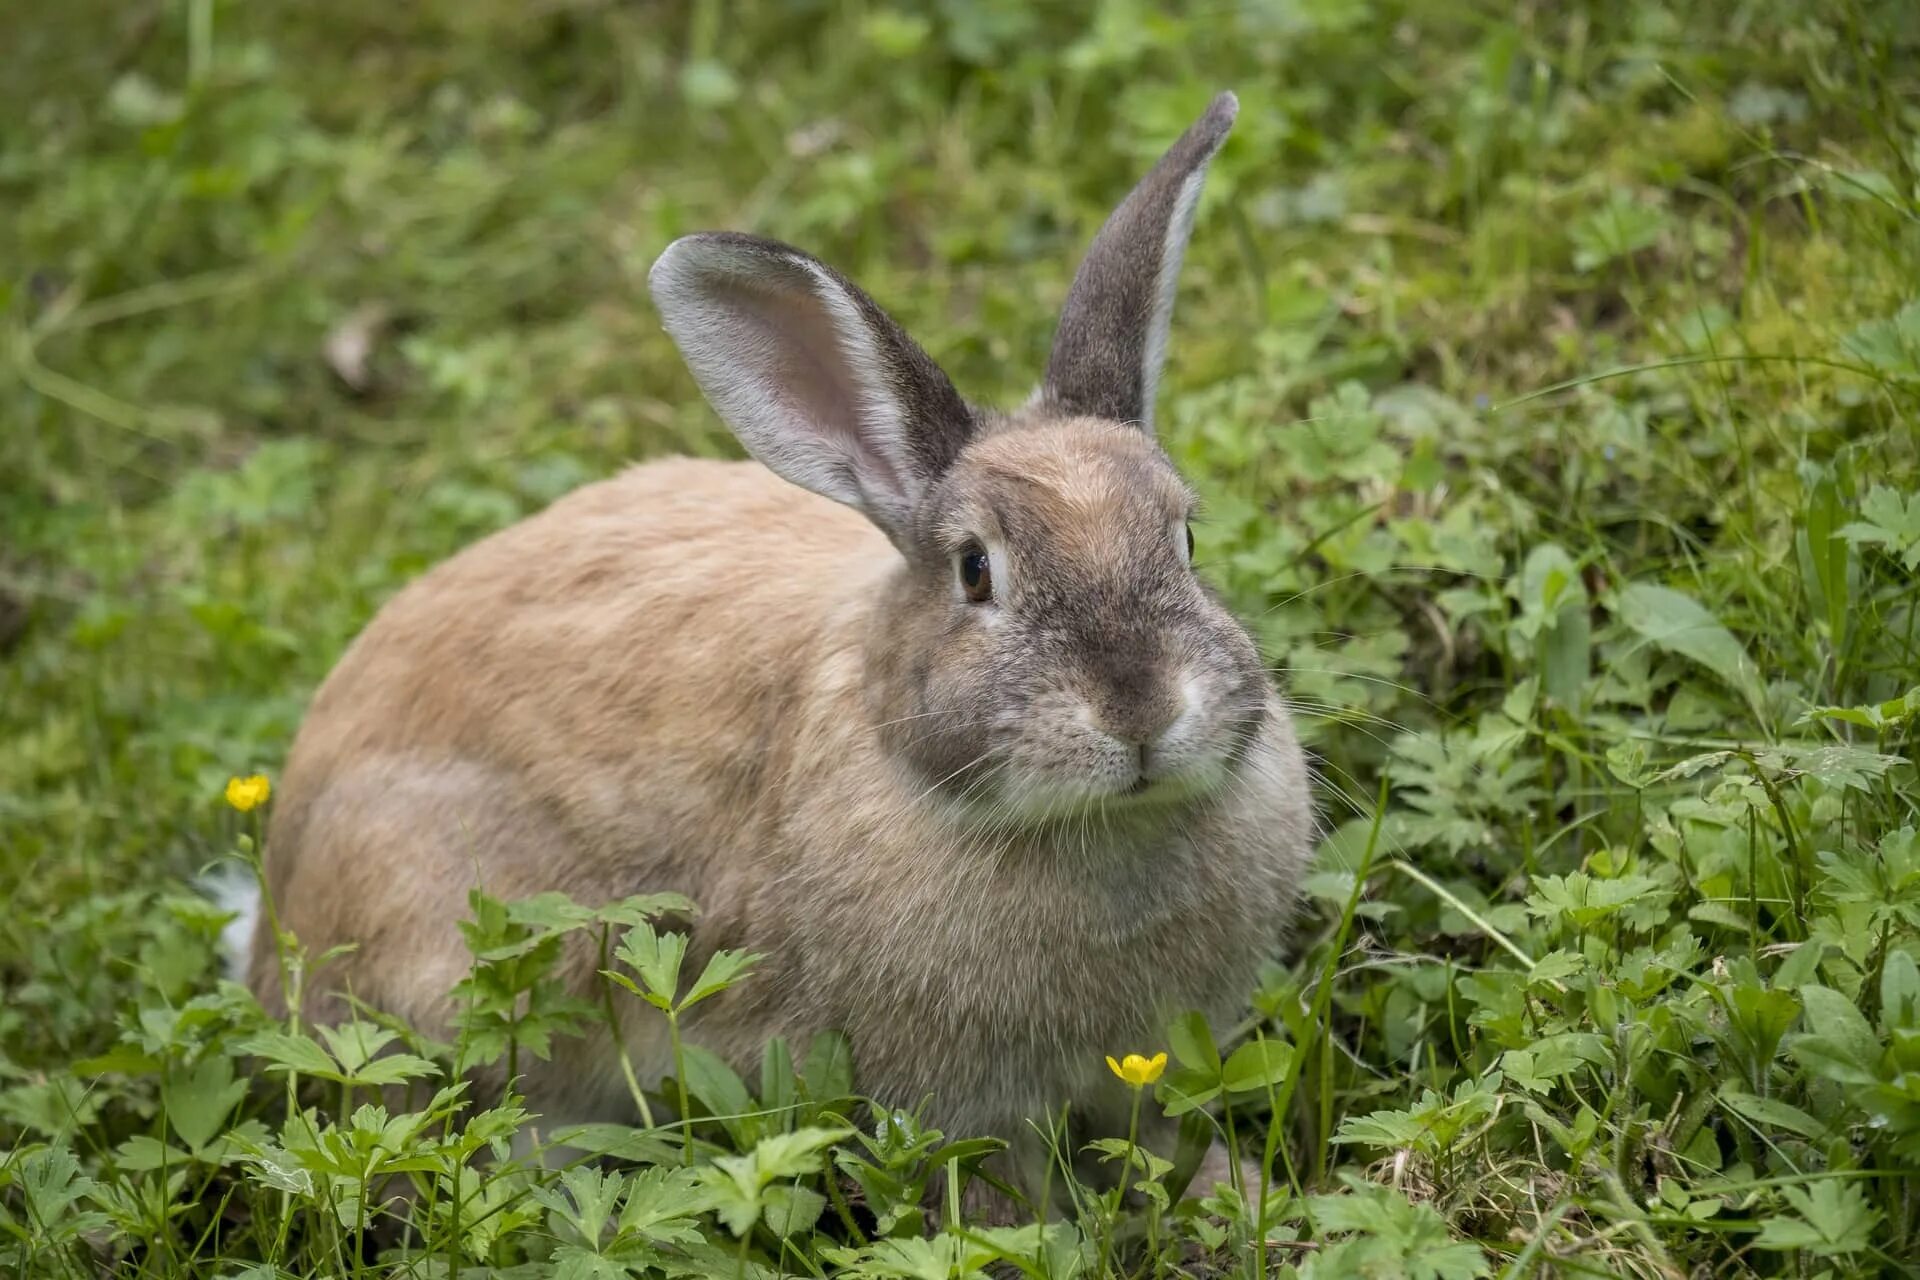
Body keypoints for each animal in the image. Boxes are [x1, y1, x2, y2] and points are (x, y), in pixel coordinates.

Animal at [243, 92, 1305, 1205]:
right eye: (975, 570)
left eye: (1185, 539)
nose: (1141, 711)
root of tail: (277, 910)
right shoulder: (960, 1102)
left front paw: (1228, 1188)